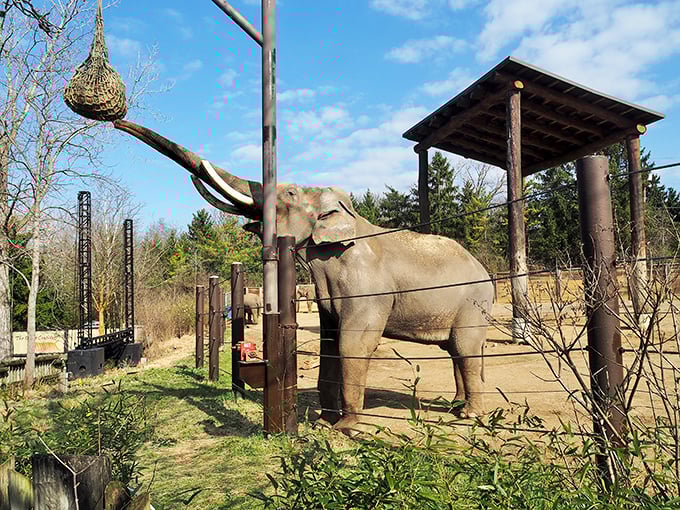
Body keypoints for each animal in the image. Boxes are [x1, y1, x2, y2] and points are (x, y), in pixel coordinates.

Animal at [111, 119, 495, 434]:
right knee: (456, 351)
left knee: (465, 347)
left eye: (291, 193)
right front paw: (323, 421)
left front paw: (345, 428)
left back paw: (470, 414)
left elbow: (353, 342)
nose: (116, 121)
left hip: (473, 303)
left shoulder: (368, 286)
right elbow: (329, 341)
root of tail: (486, 272)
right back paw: (456, 406)